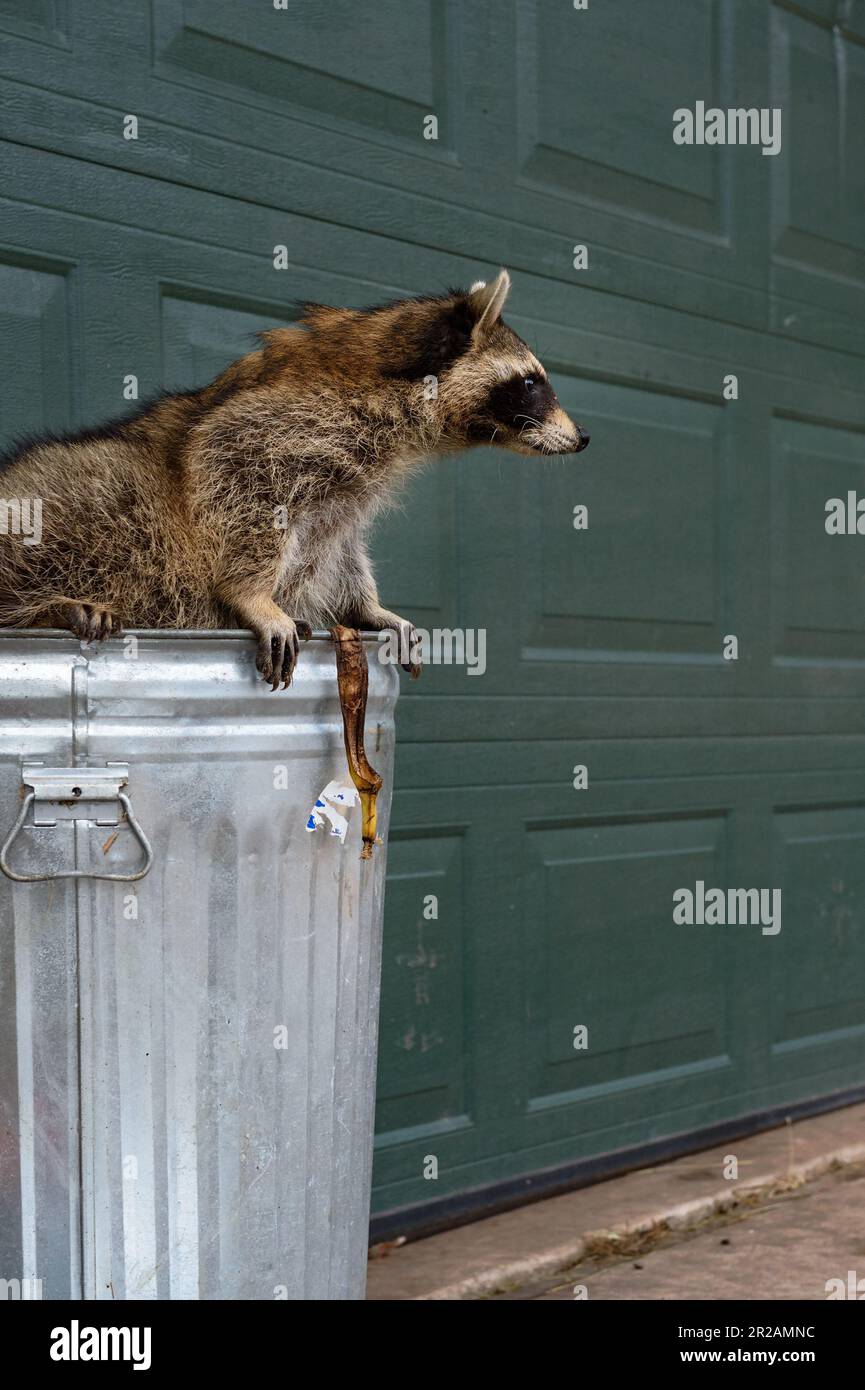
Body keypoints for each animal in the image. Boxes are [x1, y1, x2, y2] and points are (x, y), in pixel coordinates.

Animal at [0, 270, 589, 688]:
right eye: (531, 382)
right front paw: (253, 595)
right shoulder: (284, 424)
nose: (583, 438)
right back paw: (52, 608)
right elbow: (230, 468)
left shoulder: (349, 487)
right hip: (70, 500)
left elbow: (343, 548)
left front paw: (367, 607)